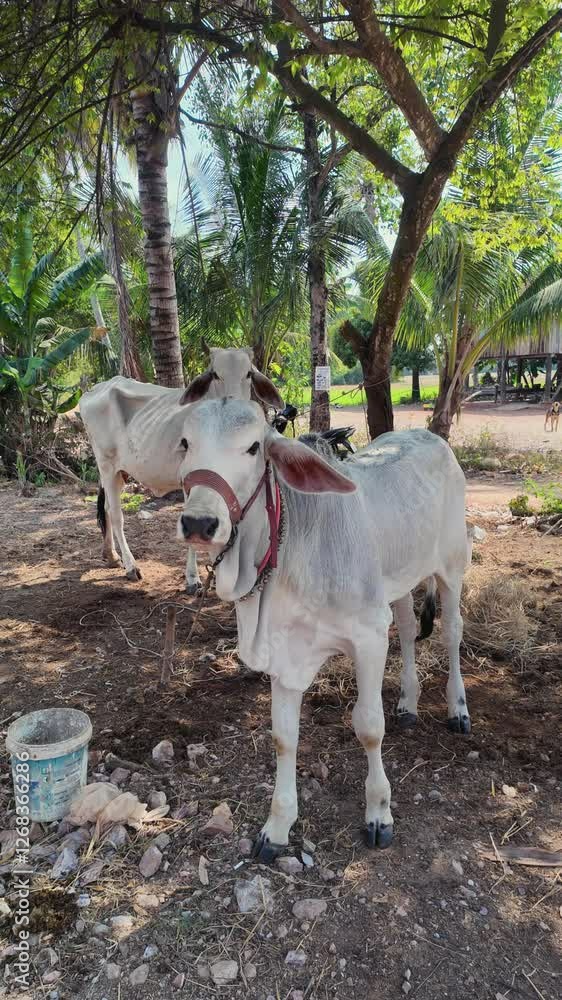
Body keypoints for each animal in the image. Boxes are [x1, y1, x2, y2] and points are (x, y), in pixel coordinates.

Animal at [79, 349, 283, 590]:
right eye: (215, 374)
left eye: (248, 373)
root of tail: (95, 389)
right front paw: (193, 578)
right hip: (107, 465)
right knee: (116, 514)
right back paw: (130, 566)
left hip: (119, 472)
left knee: (107, 509)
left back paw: (111, 556)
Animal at [176, 397, 471, 860]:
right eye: (185, 443)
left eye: (254, 447)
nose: (198, 523)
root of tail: (429, 436)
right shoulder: (284, 654)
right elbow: (284, 737)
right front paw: (277, 826)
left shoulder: (368, 638)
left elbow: (368, 726)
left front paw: (379, 813)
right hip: (399, 582)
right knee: (407, 629)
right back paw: (408, 703)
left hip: (452, 567)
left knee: (452, 632)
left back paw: (458, 709)